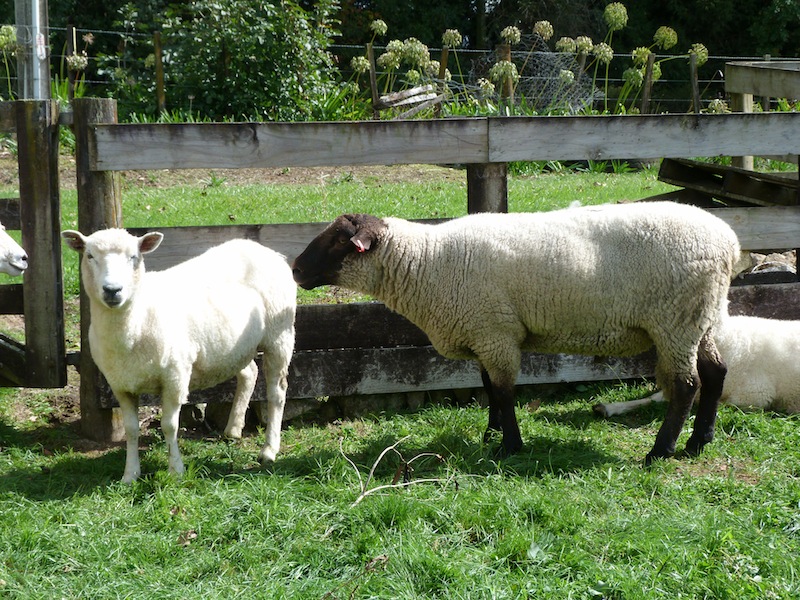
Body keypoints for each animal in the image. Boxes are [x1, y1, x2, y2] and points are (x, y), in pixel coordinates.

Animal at [62, 229, 296, 483]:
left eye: (134, 257)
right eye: (90, 256)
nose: (112, 290)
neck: (137, 321)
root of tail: (264, 250)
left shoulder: (175, 376)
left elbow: (169, 426)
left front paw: (176, 470)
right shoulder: (121, 385)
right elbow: (132, 430)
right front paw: (130, 474)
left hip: (279, 334)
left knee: (277, 393)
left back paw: (269, 449)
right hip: (234, 345)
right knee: (249, 373)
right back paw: (233, 429)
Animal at [291, 202, 741, 464]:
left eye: (339, 242)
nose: (294, 269)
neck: (427, 262)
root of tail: (730, 241)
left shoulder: (496, 333)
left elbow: (505, 391)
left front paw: (508, 446)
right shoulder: (485, 333)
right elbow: (489, 387)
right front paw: (490, 433)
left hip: (675, 320)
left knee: (686, 385)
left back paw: (660, 451)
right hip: (701, 318)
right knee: (715, 373)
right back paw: (700, 441)